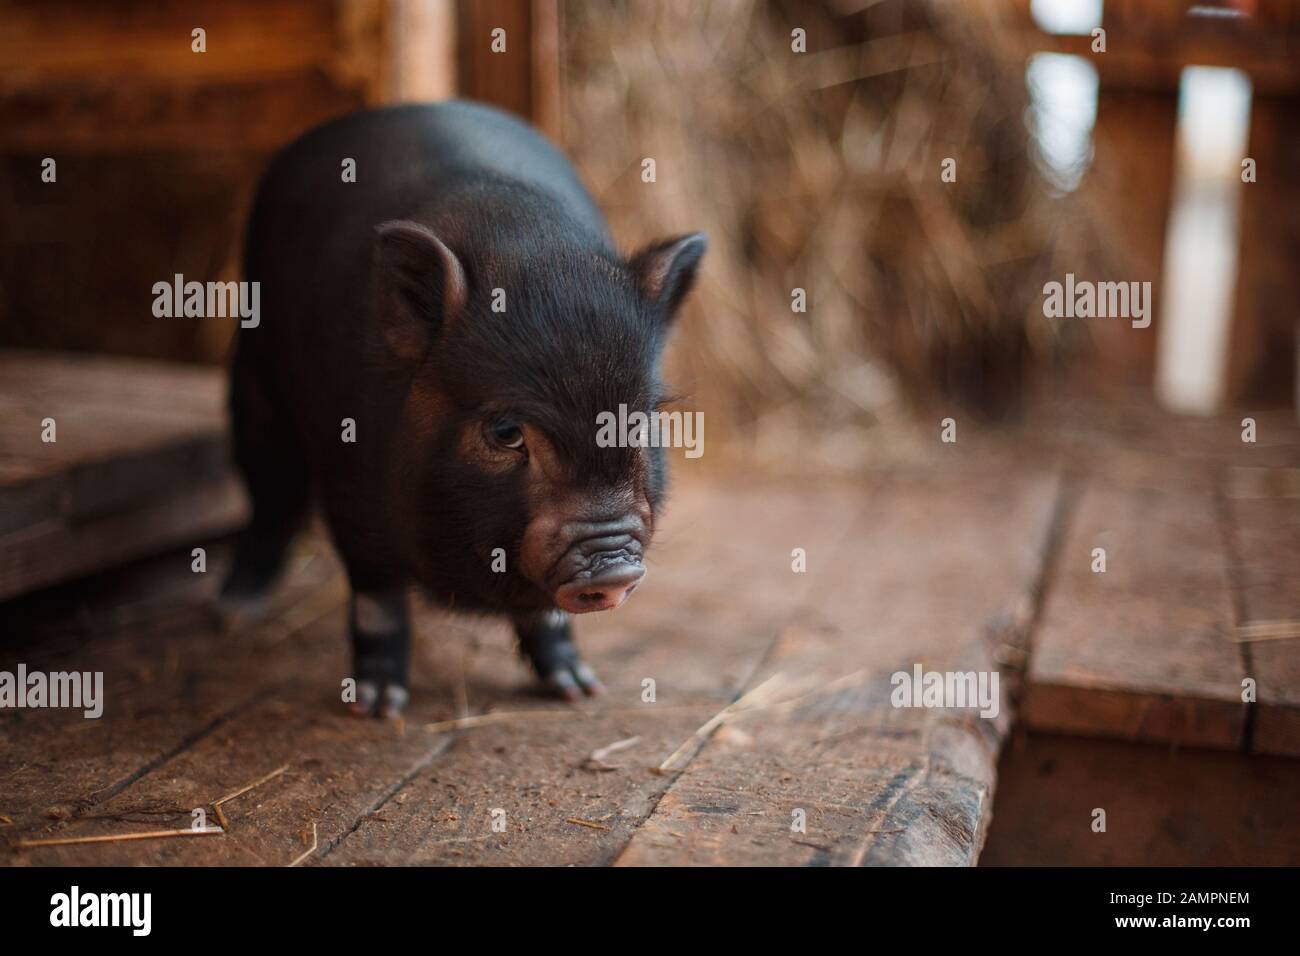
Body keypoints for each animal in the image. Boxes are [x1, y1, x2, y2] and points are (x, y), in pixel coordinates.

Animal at [219, 101, 706, 717]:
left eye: (637, 422)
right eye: (505, 432)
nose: (615, 565)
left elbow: (544, 612)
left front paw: (578, 689)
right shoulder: (348, 482)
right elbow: (376, 598)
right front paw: (378, 707)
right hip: (252, 388)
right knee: (268, 494)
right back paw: (233, 614)